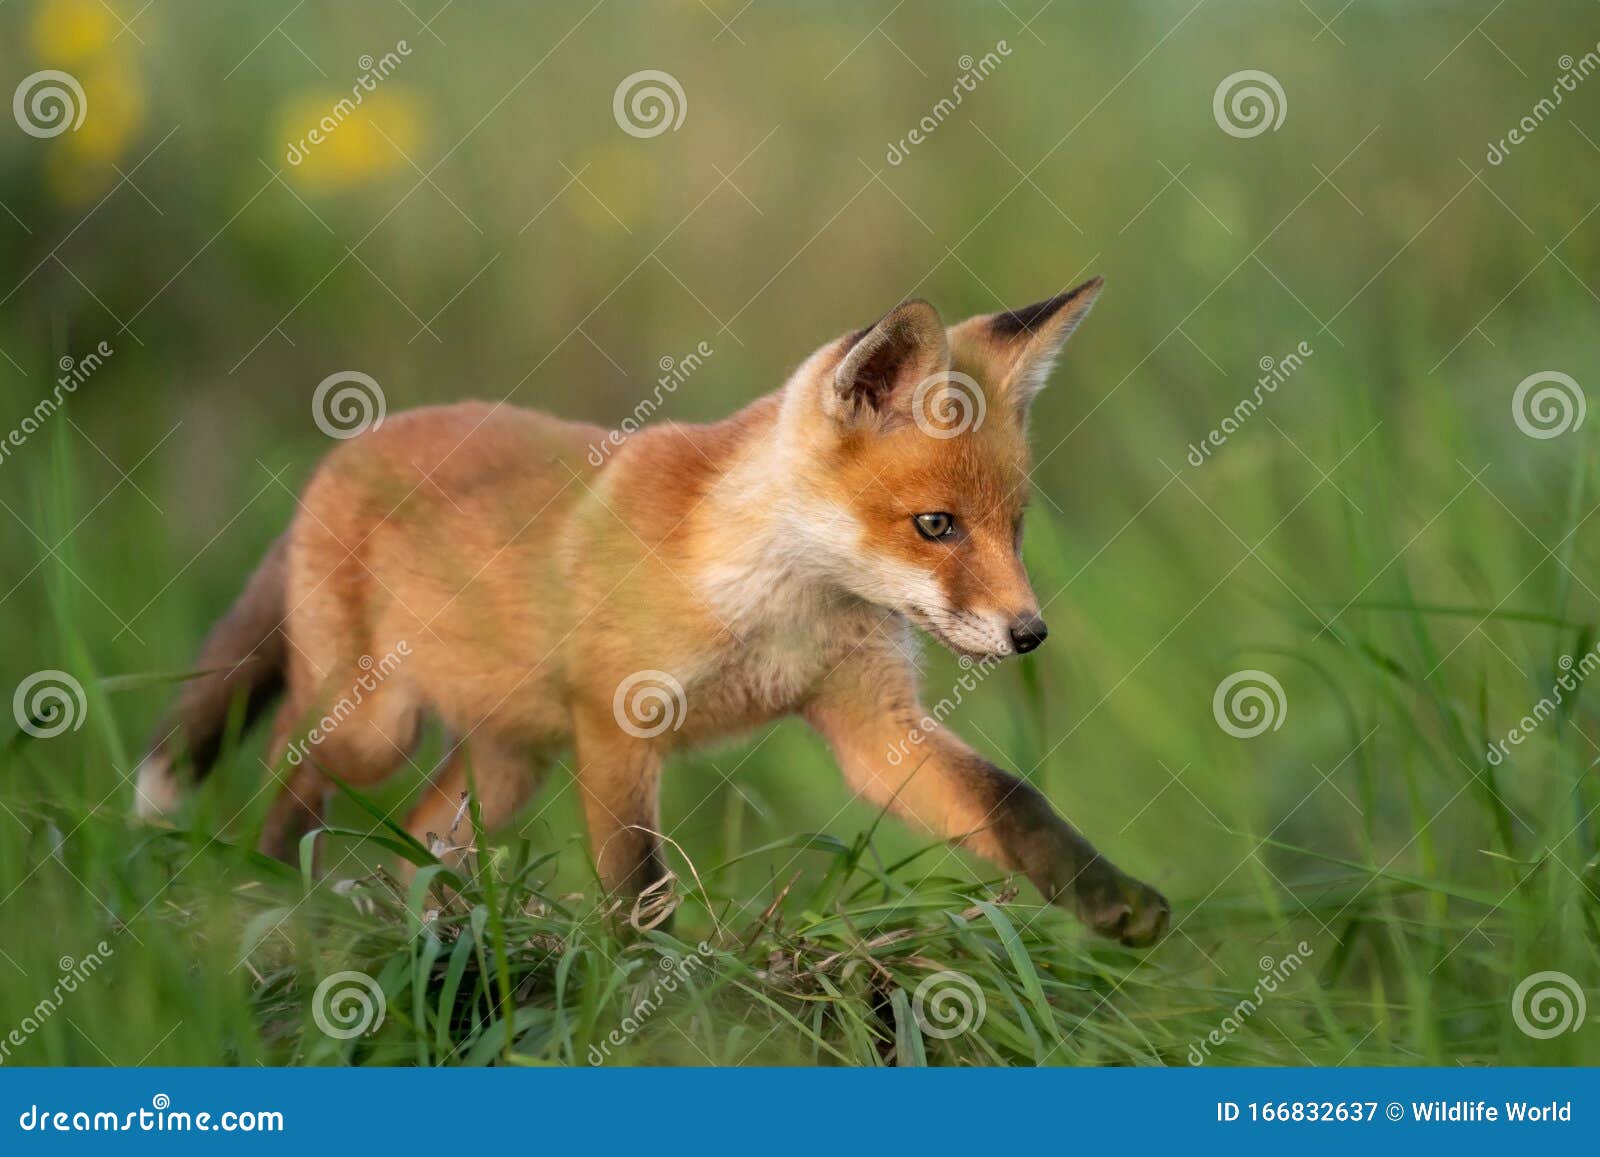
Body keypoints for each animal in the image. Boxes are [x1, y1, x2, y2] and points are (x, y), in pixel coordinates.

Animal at [135, 275, 1169, 947]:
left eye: (1015, 528)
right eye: (935, 525)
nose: (1029, 633)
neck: (780, 608)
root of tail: (344, 450)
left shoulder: (870, 723)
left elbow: (1012, 801)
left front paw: (1112, 901)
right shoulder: (618, 725)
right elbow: (639, 885)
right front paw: (662, 1000)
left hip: (505, 763)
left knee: (418, 840)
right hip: (374, 727)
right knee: (287, 762)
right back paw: (278, 889)